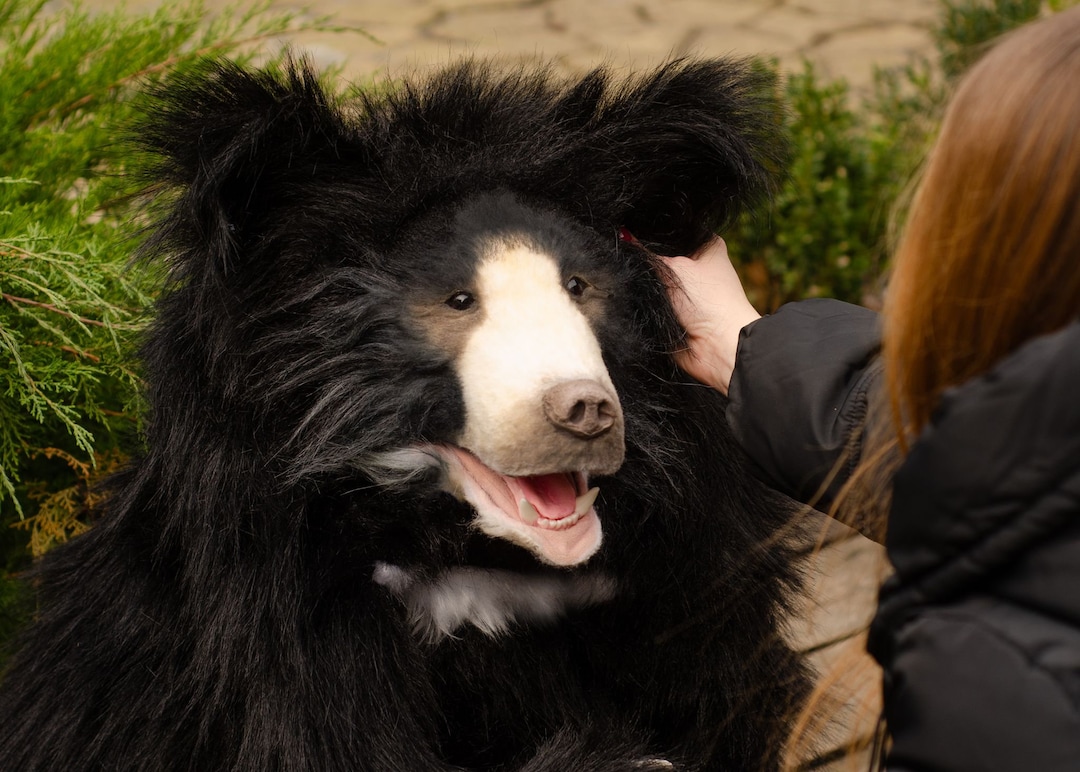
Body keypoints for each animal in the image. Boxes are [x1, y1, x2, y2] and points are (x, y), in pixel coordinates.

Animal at [0, 57, 811, 771]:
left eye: (580, 287)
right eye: (457, 301)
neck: (465, 556)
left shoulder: (677, 572)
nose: (584, 412)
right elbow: (341, 743)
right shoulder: (278, 598)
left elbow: (724, 690)